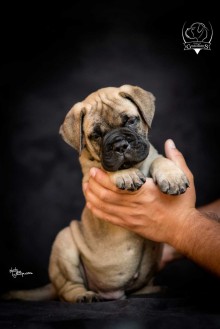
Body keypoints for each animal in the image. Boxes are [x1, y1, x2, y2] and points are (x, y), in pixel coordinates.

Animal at [3, 84, 189, 302]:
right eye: (96, 135)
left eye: (131, 120)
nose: (120, 145)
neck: (136, 165)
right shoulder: (90, 176)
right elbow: (104, 168)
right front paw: (126, 175)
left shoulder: (151, 154)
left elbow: (159, 160)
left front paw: (173, 176)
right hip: (65, 242)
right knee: (68, 288)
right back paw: (83, 295)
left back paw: (155, 290)